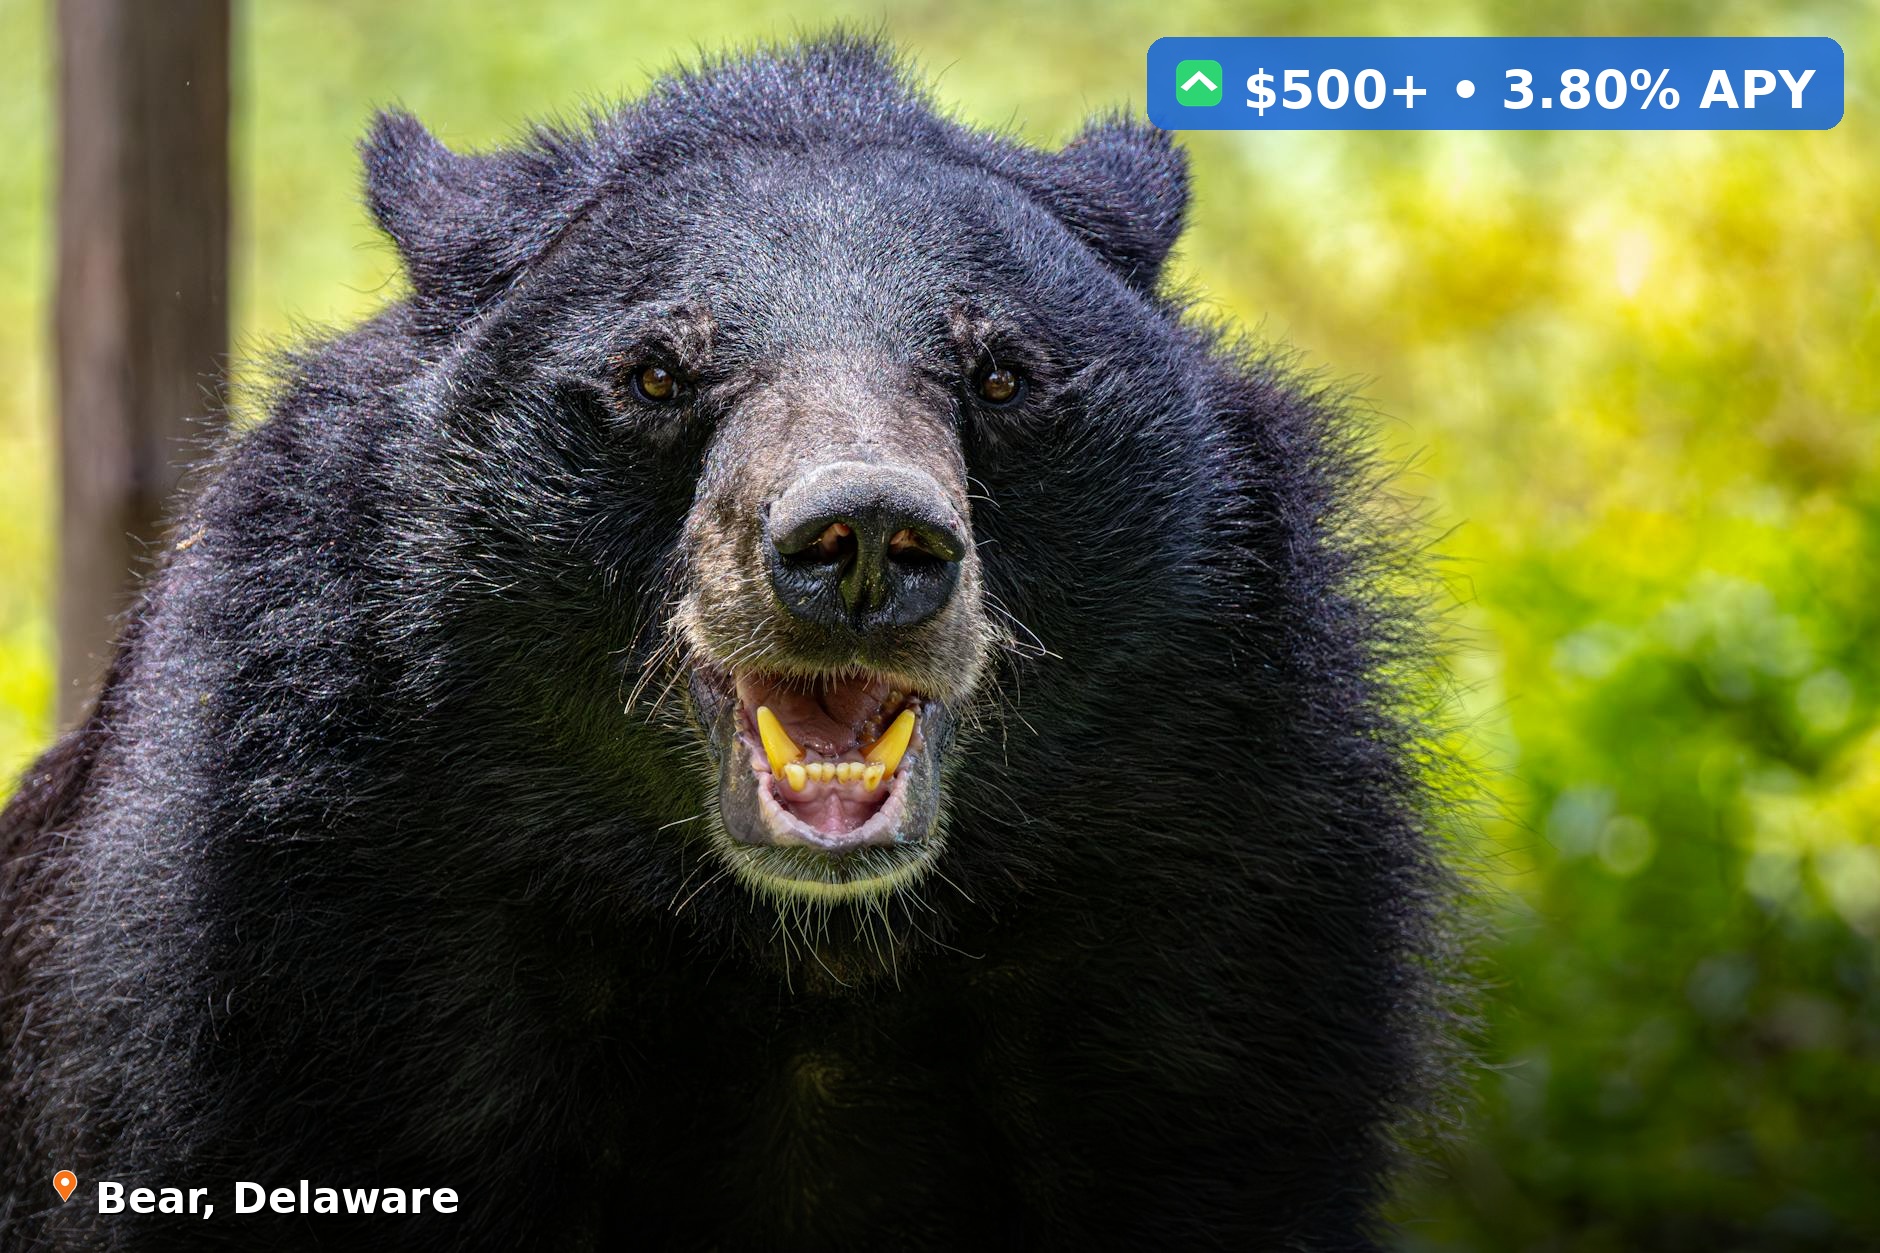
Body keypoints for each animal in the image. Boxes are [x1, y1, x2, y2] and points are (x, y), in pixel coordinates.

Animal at [0, 35, 1462, 1252]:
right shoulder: (294, 947)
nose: (862, 540)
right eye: (655, 372)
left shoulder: (1220, 942)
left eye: (1000, 375)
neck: (796, 949)